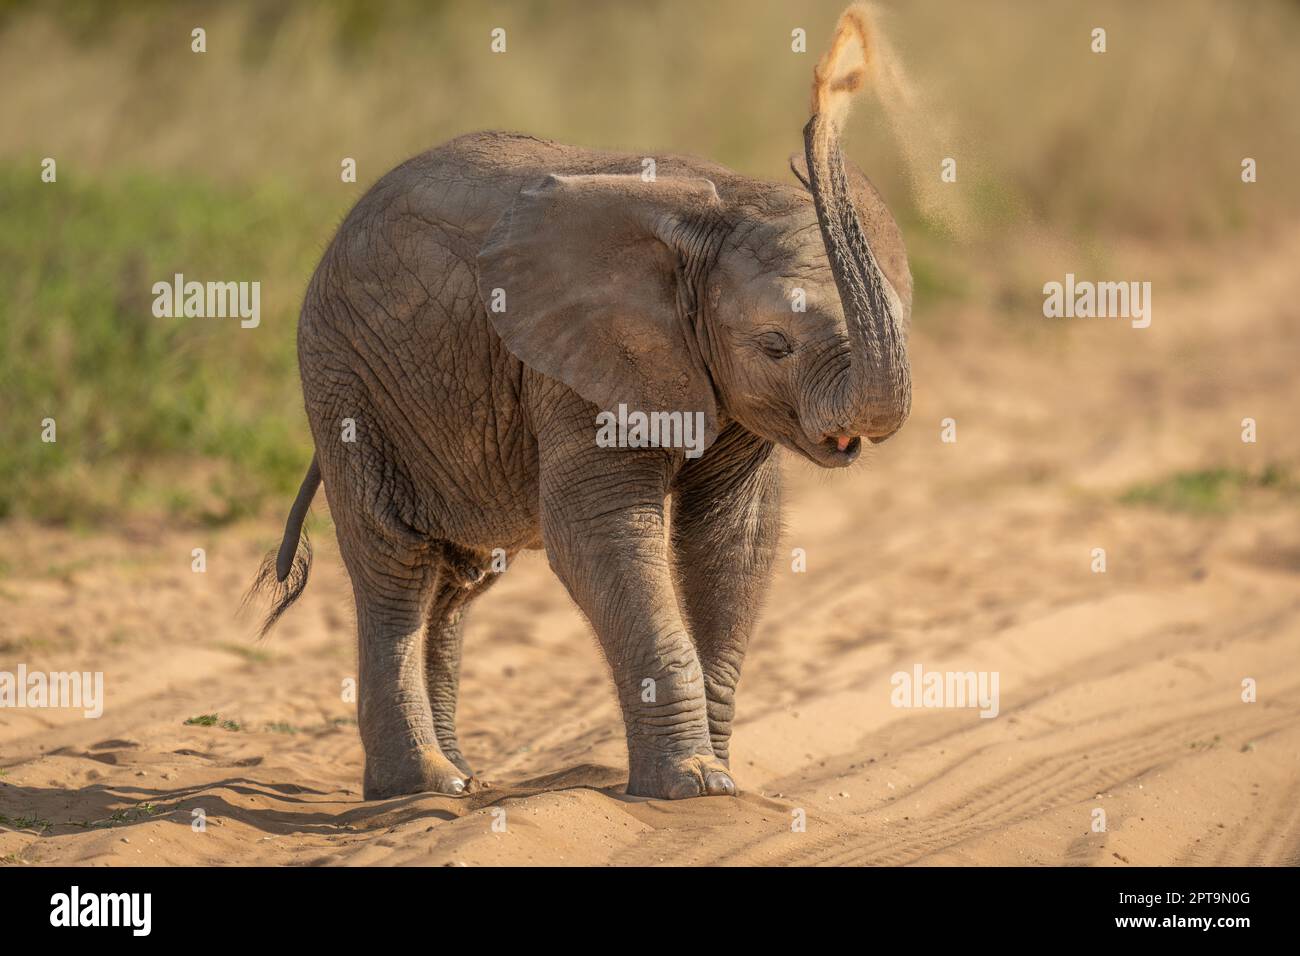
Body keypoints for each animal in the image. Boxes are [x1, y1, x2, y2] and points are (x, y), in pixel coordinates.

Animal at [247, 4, 912, 801]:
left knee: (455, 577)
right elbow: (599, 531)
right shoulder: (570, 366)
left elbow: (732, 539)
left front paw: (719, 780)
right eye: (775, 345)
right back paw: (424, 786)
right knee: (395, 564)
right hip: (343, 375)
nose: (835, 76)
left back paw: (462, 778)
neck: (718, 210)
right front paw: (692, 786)